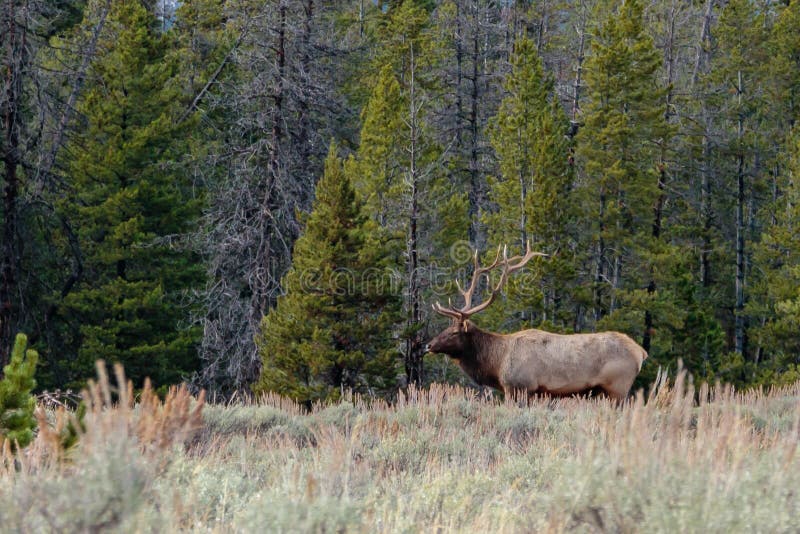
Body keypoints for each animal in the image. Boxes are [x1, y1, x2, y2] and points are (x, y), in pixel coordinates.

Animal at [425, 243, 648, 400]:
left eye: (454, 332)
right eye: (446, 327)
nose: (428, 345)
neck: (497, 363)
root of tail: (641, 352)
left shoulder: (519, 387)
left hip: (617, 387)